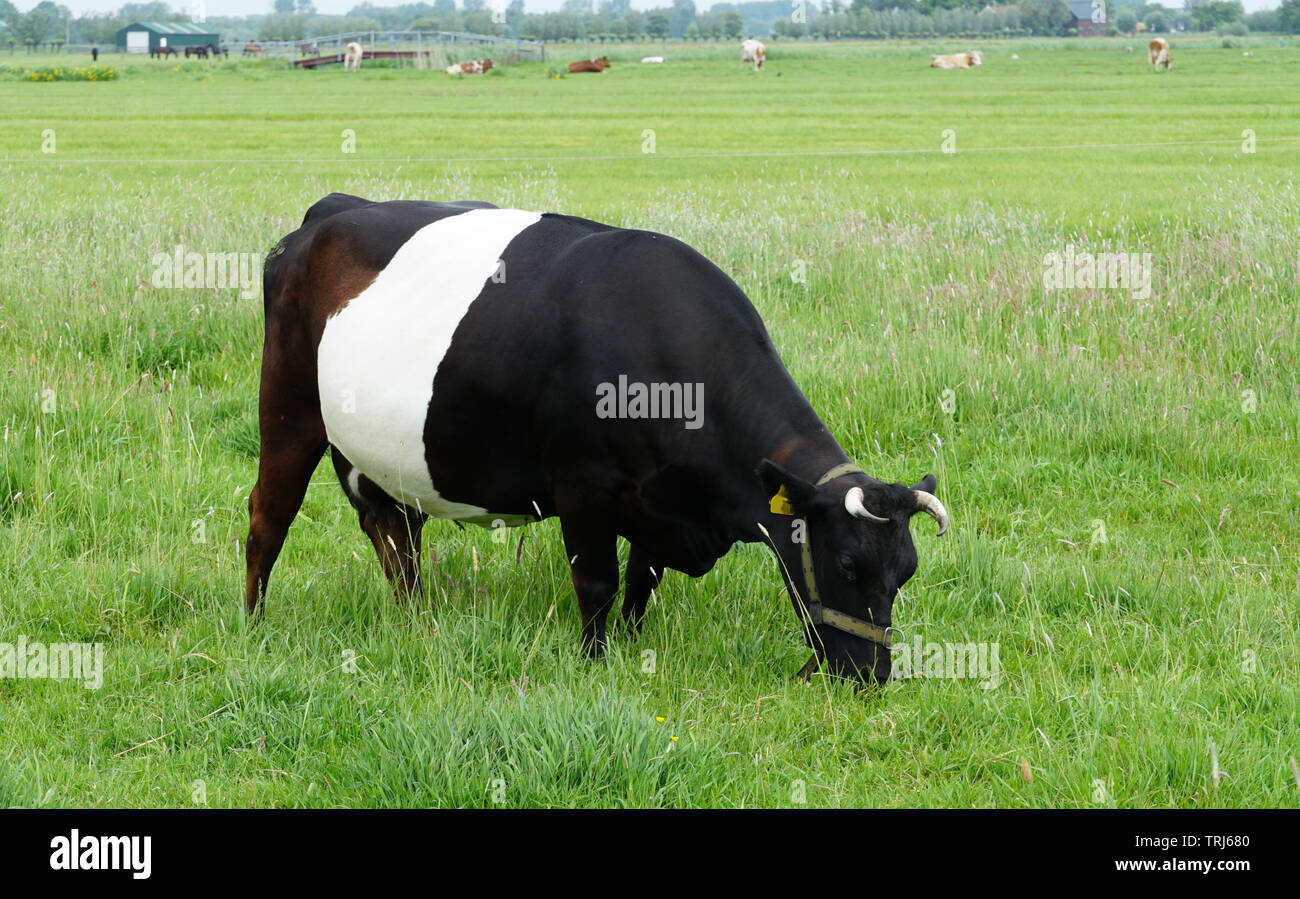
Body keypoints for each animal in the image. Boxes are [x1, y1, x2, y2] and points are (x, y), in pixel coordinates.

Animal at [246, 195, 949, 685]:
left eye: (907, 571)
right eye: (848, 563)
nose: (870, 675)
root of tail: (332, 210)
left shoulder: (658, 507)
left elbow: (641, 583)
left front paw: (634, 647)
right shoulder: (583, 489)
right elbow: (598, 584)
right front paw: (594, 660)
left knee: (396, 531)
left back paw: (417, 618)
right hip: (288, 408)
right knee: (269, 517)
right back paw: (254, 623)